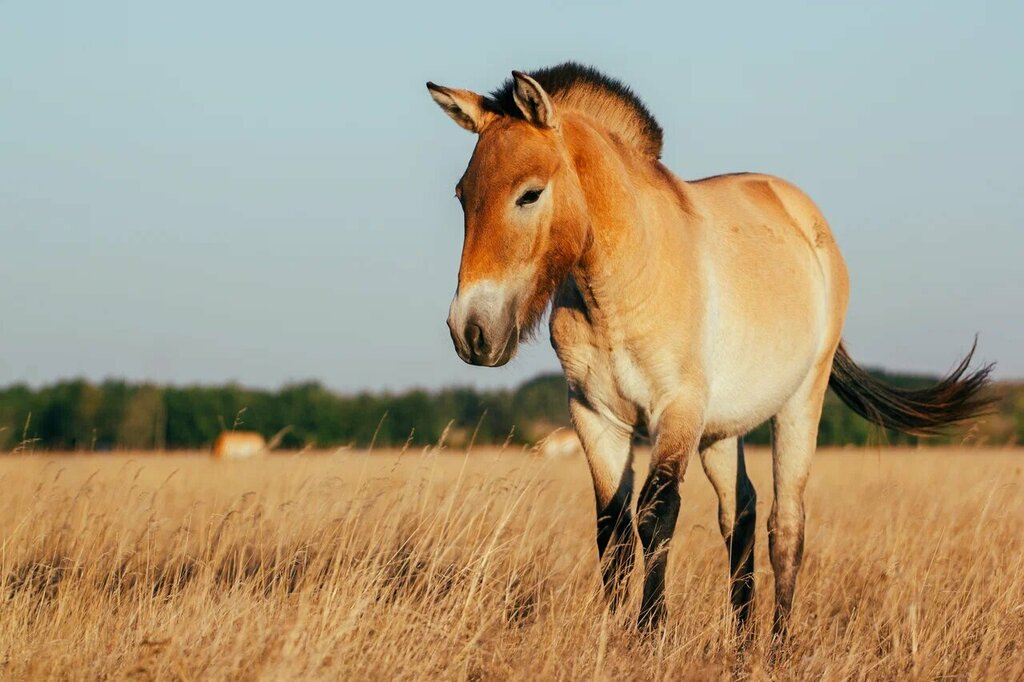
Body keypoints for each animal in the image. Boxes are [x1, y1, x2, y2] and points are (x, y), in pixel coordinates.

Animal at [425, 62, 993, 639]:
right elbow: (613, 529)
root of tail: (809, 223)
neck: (620, 283)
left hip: (798, 403)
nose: (470, 331)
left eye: (530, 194)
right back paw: (741, 641)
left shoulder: (677, 410)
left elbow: (656, 514)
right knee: (740, 513)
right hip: (722, 429)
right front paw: (613, 634)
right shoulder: (594, 416)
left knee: (786, 524)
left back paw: (777, 643)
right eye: (463, 196)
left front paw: (648, 632)